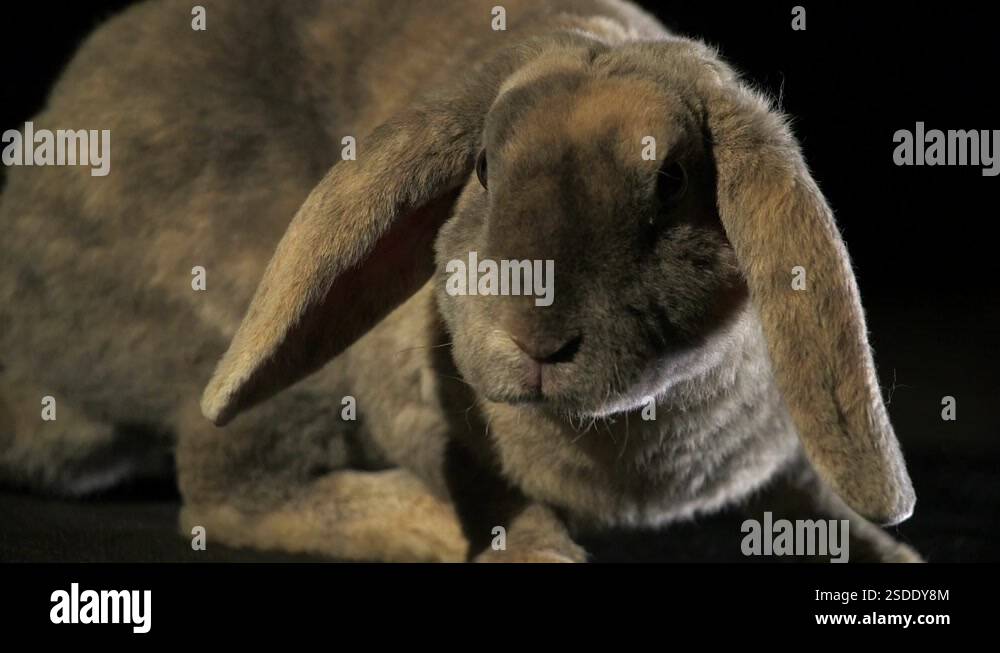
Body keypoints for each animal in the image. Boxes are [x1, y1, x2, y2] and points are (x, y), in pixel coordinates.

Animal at [0, 0, 919, 562]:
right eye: (482, 169)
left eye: (672, 182)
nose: (537, 340)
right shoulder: (417, 412)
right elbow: (491, 493)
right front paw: (540, 550)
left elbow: (813, 493)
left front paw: (888, 548)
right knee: (222, 492)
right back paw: (423, 525)